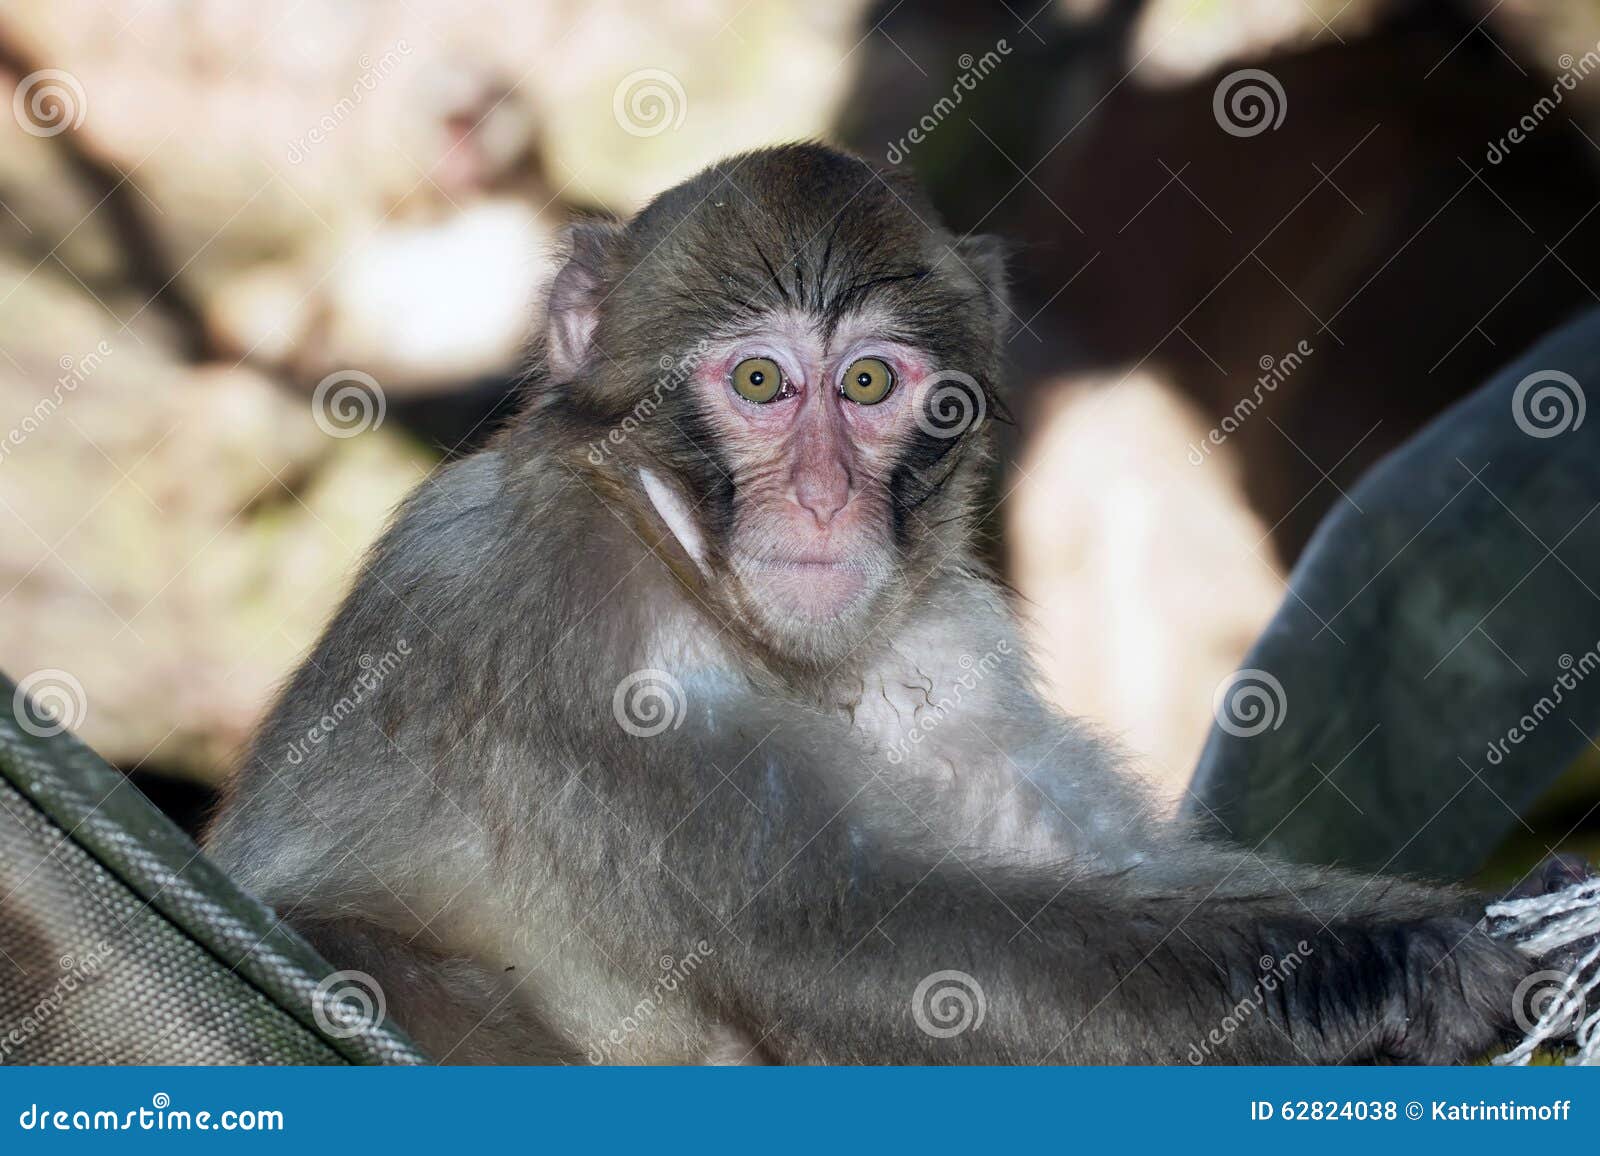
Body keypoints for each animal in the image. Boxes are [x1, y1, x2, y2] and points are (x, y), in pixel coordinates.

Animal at [205, 142, 1576, 1065]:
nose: (822, 501)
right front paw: (1393, 971)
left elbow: (1093, 864)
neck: (685, 568)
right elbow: (848, 937)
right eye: (760, 381)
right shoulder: (558, 613)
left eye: (869, 383)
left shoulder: (946, 632)